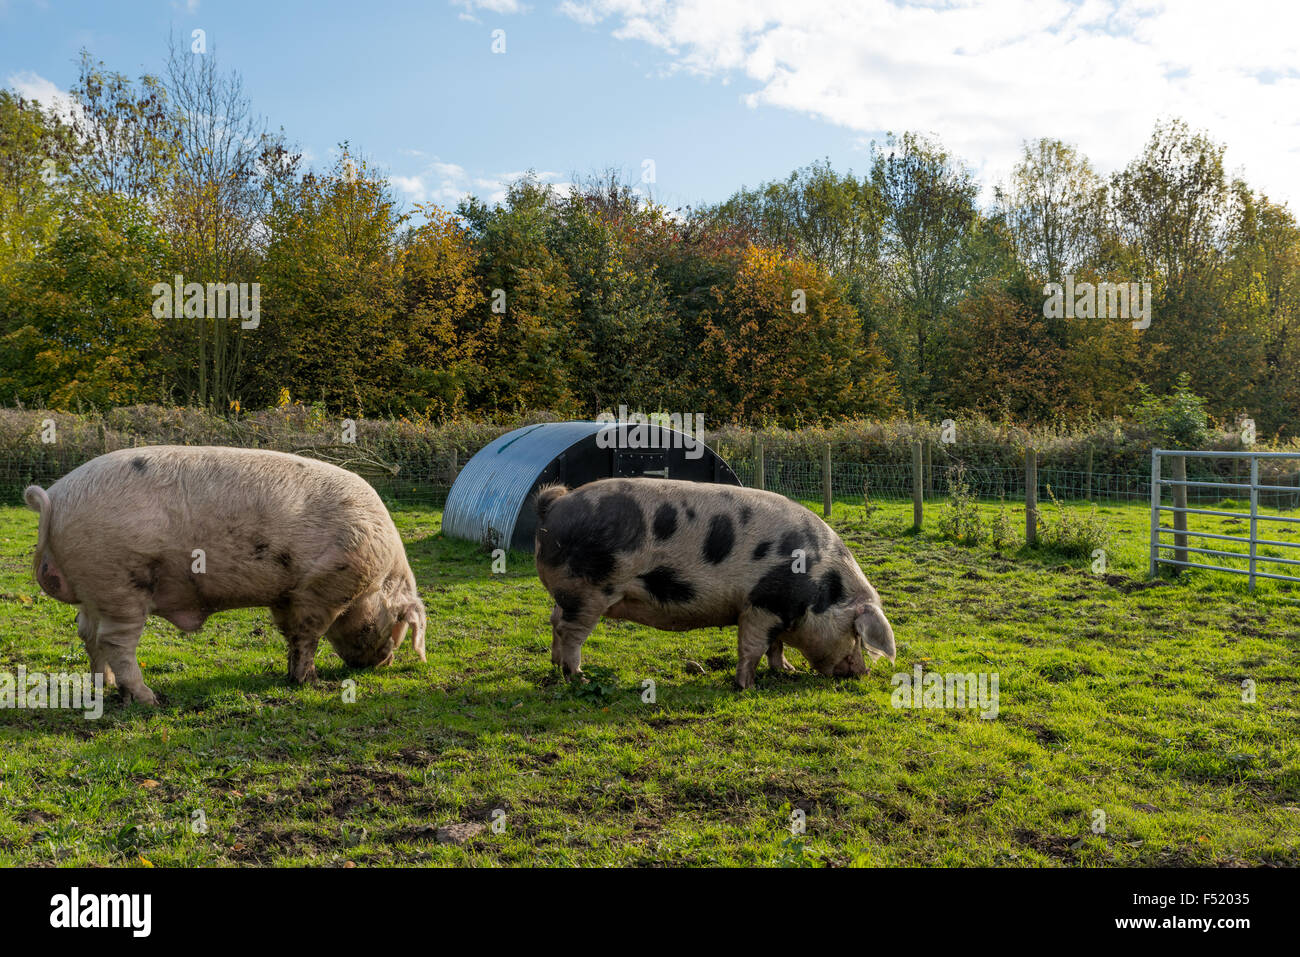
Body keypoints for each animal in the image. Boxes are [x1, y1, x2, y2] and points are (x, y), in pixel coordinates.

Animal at [25, 445, 427, 705]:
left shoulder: (286, 597)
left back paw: (102, 687)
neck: (377, 581)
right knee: (114, 642)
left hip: (95, 590)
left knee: (87, 634)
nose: (385, 663)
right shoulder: (320, 591)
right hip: (120, 583)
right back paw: (148, 699)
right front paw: (310, 683)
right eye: (399, 624)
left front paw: (291, 676)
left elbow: (291, 636)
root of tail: (55, 499)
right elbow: (308, 637)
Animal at [534, 478, 895, 688]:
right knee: (569, 631)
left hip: (568, 593)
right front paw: (747, 686)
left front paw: (787, 671)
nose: (863, 674)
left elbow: (775, 646)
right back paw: (578, 677)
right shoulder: (759, 605)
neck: (820, 585)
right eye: (856, 635)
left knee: (553, 620)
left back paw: (555, 666)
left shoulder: (776, 611)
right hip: (587, 590)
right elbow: (753, 647)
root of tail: (556, 504)